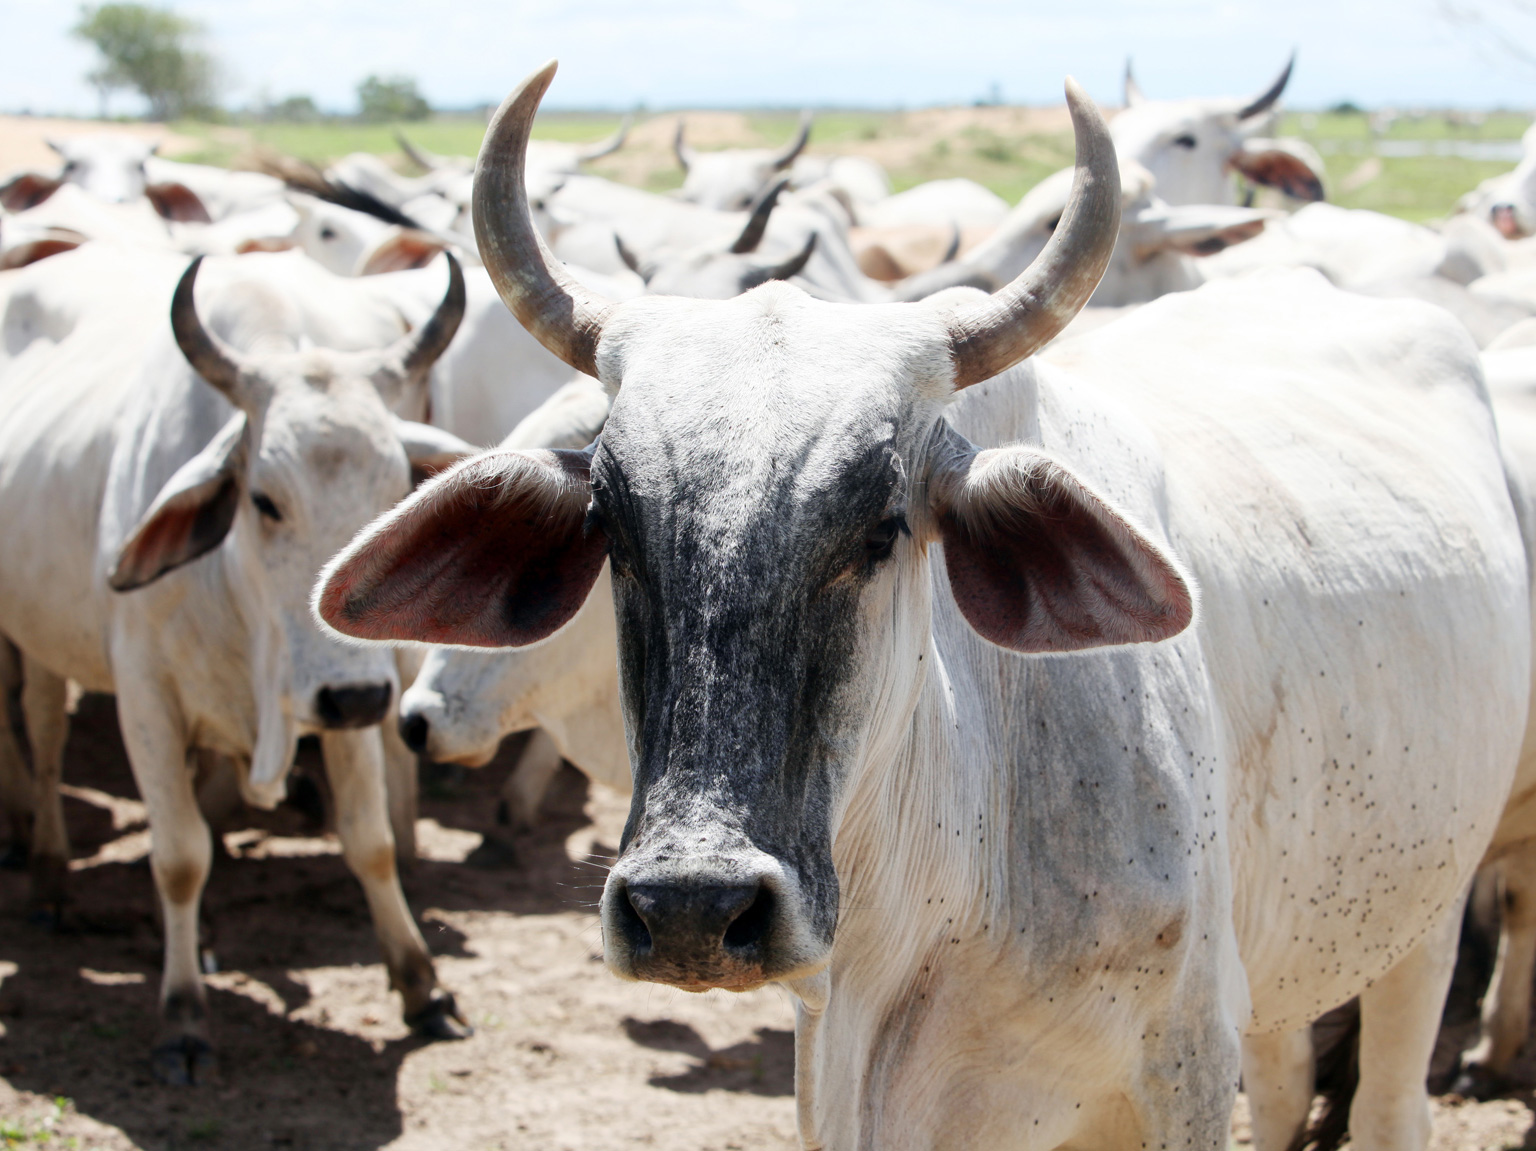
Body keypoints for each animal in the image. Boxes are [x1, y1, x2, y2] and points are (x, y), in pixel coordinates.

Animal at [0, 248, 475, 1084]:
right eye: (264, 500)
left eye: (397, 496)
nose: (360, 697)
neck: (241, 607)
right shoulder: (146, 699)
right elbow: (178, 856)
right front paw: (184, 1015)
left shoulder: (336, 697)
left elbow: (370, 840)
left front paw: (421, 984)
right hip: (33, 639)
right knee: (43, 736)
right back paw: (49, 873)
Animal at [317, 60, 1530, 1151]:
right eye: (611, 526)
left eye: (882, 525)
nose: (692, 907)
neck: (941, 897)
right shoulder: (840, 1084)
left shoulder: (1184, 1066)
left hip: (1419, 918)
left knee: (1390, 1104)